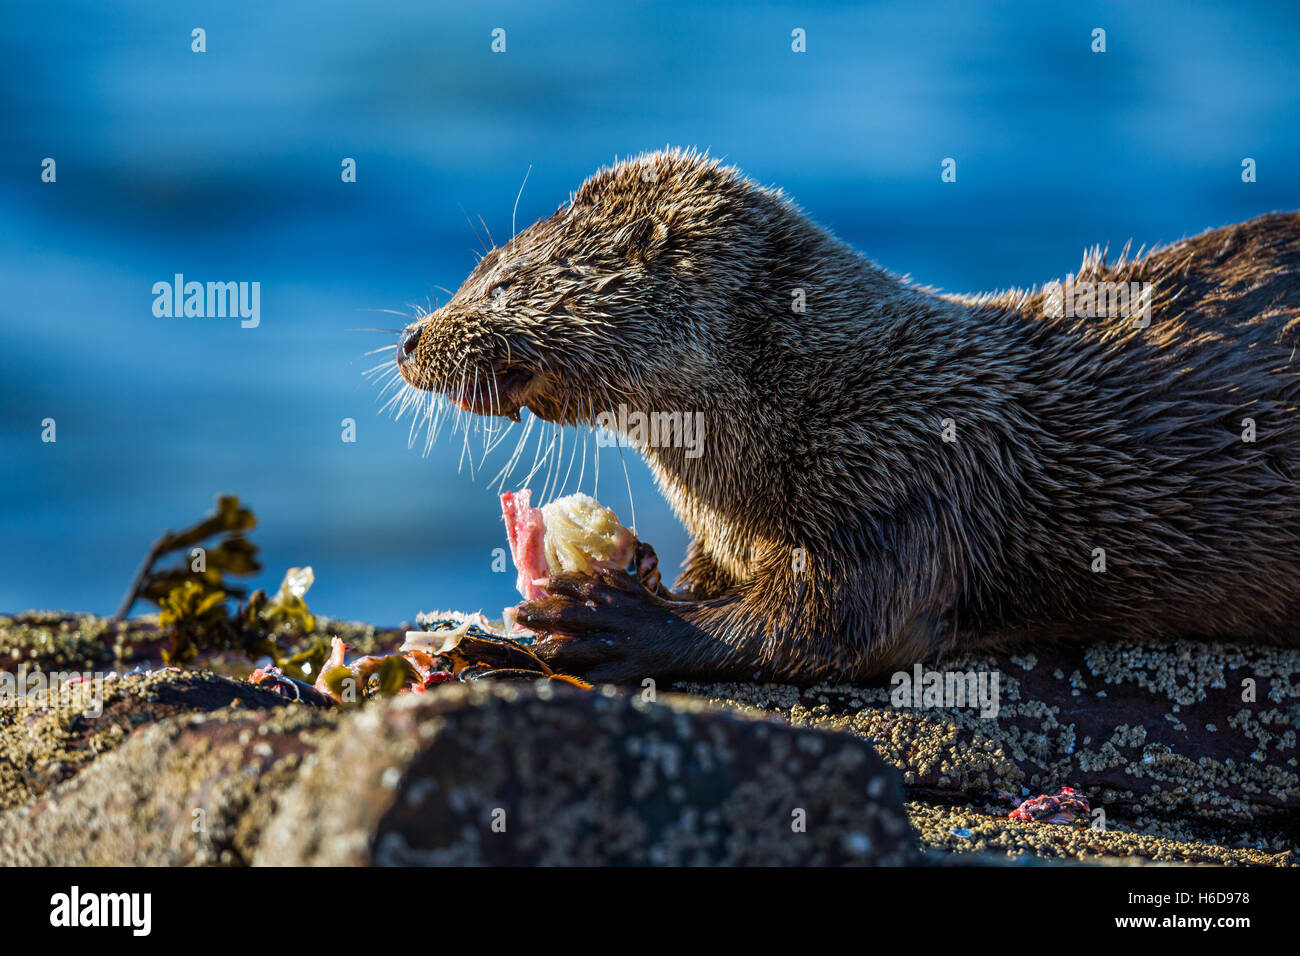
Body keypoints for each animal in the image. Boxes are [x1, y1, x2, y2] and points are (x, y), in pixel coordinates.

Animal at [393, 149, 1300, 684]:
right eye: (480, 262)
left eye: (506, 284)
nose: (408, 341)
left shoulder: (904, 484)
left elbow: (830, 627)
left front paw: (612, 622)